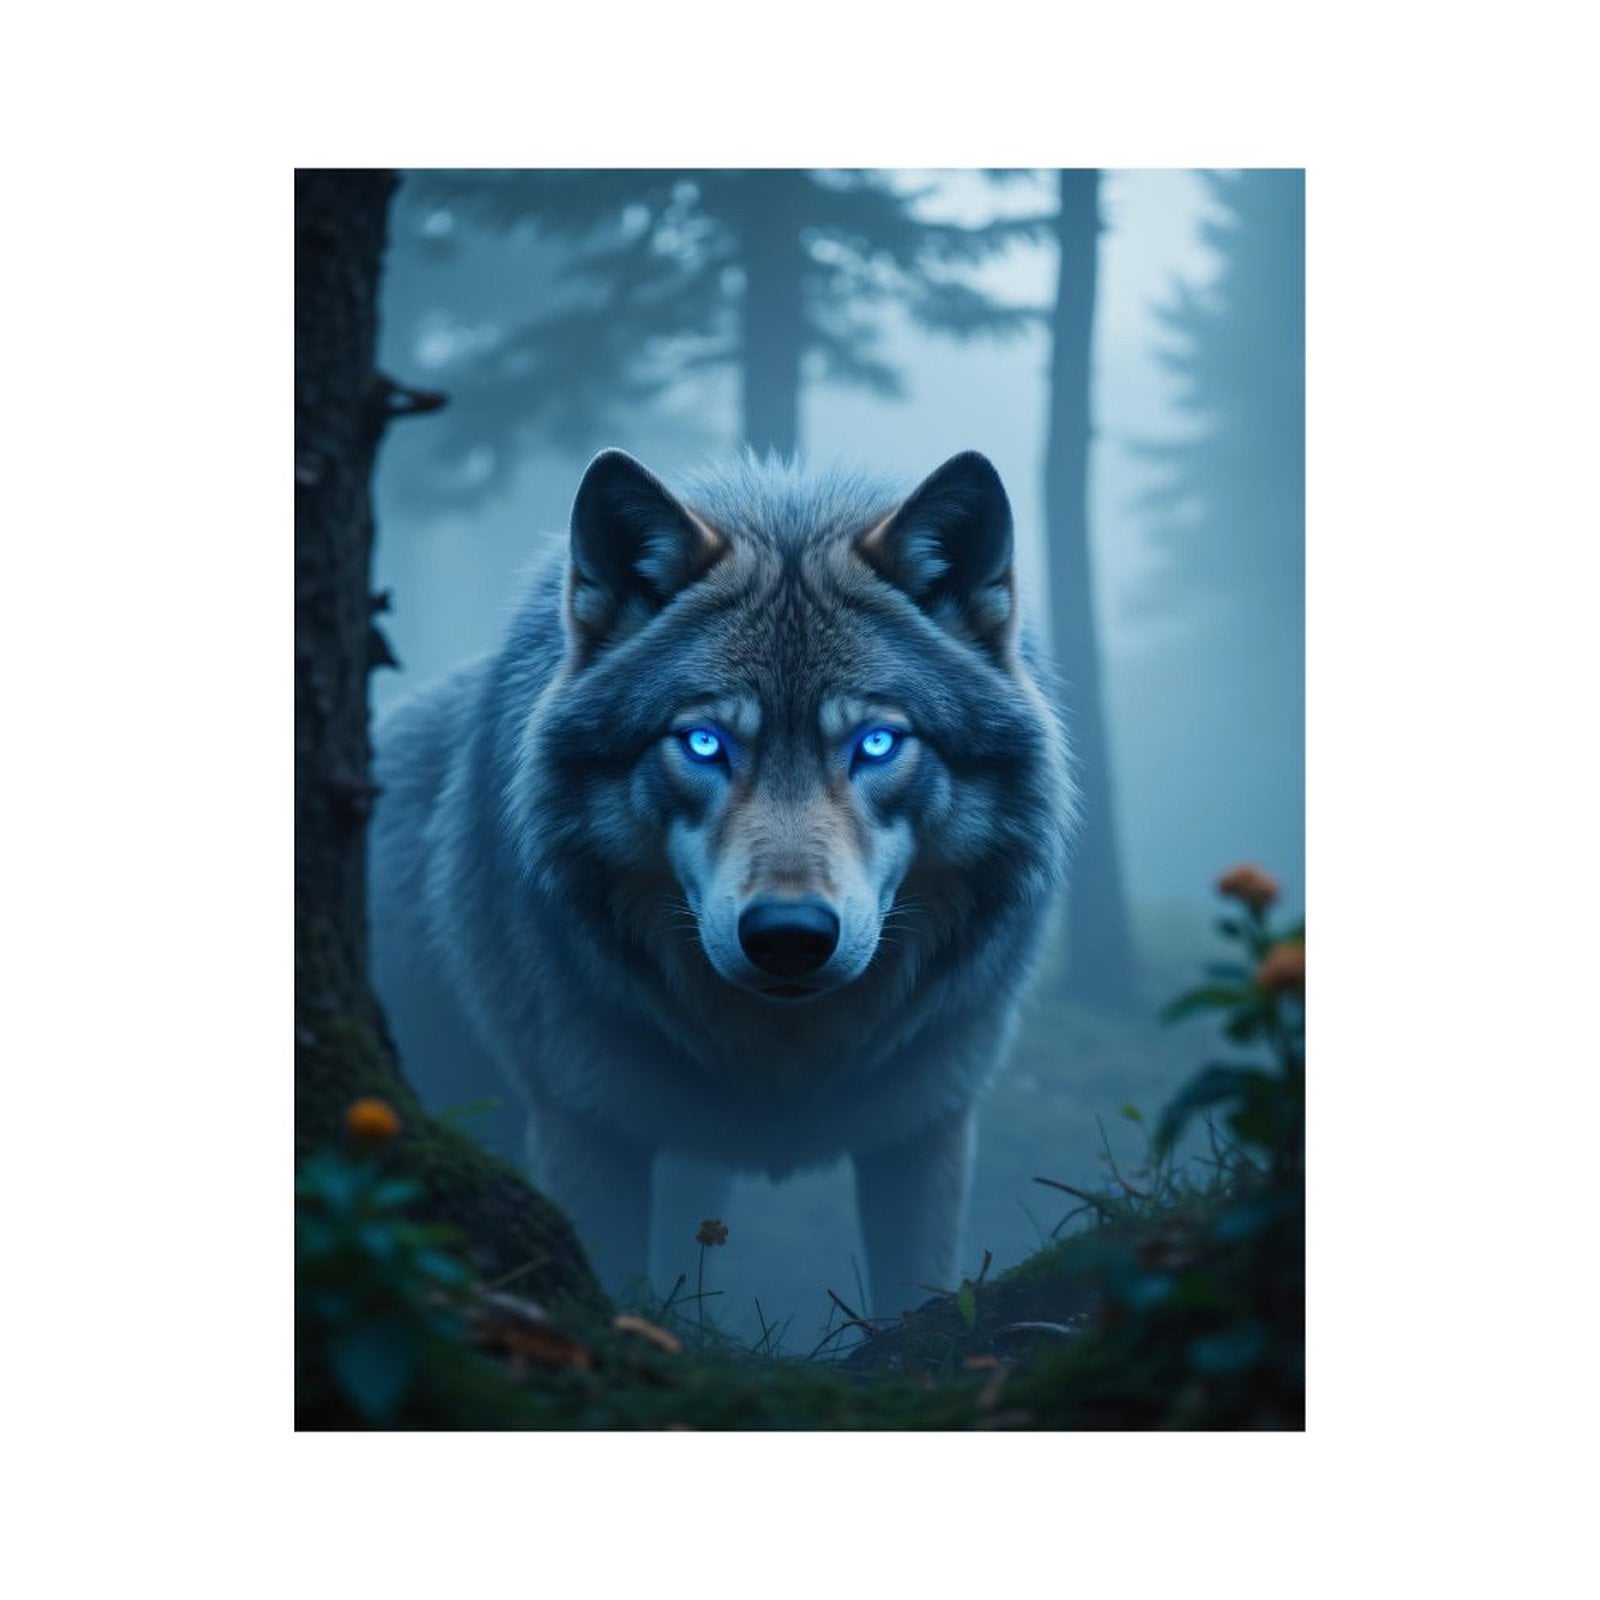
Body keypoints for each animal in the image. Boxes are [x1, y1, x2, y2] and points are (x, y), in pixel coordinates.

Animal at [369, 448, 1074, 1315]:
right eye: (704, 743)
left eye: (876, 744)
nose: (790, 938)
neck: (777, 1061)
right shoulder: (586, 1121)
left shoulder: (927, 1122)